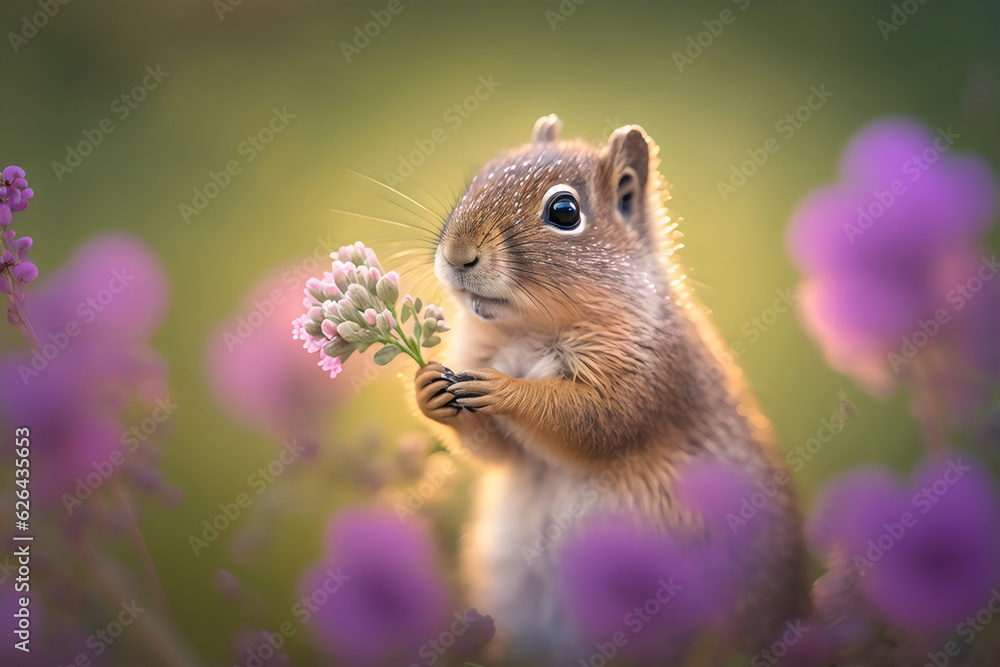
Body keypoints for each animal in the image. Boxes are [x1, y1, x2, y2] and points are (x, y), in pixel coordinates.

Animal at [413, 114, 808, 663]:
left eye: (564, 211)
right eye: (479, 177)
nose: (457, 254)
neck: (526, 331)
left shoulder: (649, 369)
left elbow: (597, 421)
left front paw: (505, 389)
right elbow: (497, 452)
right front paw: (427, 389)